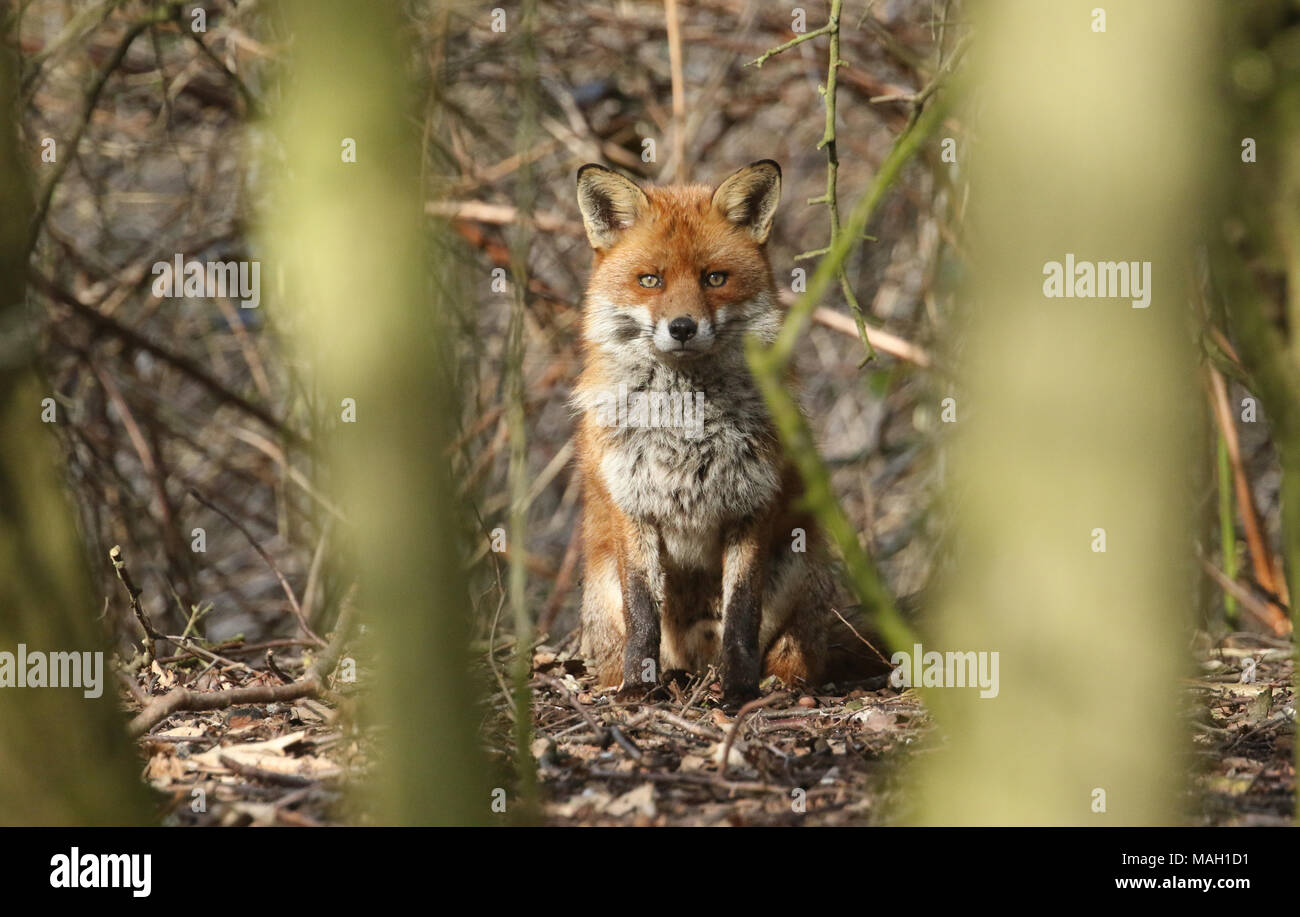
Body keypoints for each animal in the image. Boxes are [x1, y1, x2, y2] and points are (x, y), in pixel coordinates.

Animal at [572, 159, 883, 708]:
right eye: (650, 280)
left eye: (714, 278)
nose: (682, 327)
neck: (685, 423)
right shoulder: (633, 507)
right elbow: (643, 614)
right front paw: (640, 687)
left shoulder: (752, 506)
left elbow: (742, 614)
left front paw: (738, 692)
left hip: (799, 571)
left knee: (793, 661)